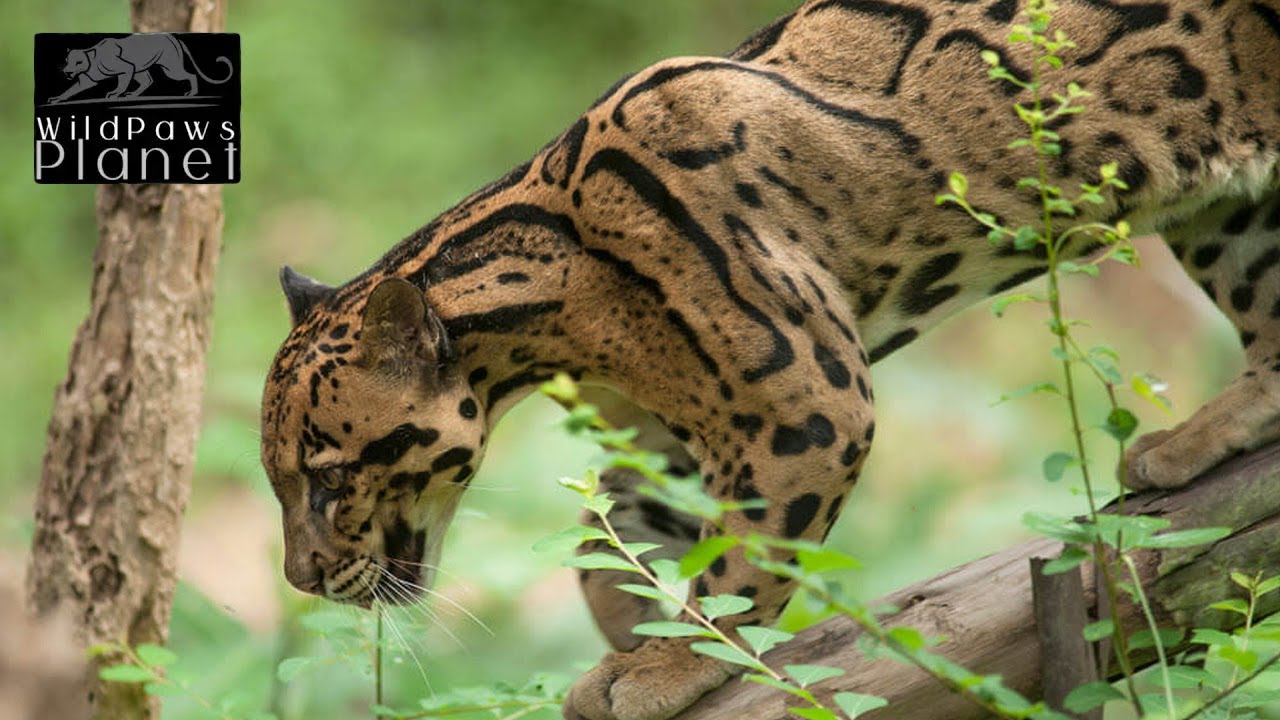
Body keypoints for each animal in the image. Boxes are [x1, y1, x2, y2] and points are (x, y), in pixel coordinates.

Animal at [260, 1, 1280, 718]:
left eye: (329, 477)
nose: (299, 581)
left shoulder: (807, 406)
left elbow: (741, 562)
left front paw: (669, 662)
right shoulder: (673, 436)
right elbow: (608, 540)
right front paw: (632, 627)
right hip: (1235, 217)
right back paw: (1202, 435)